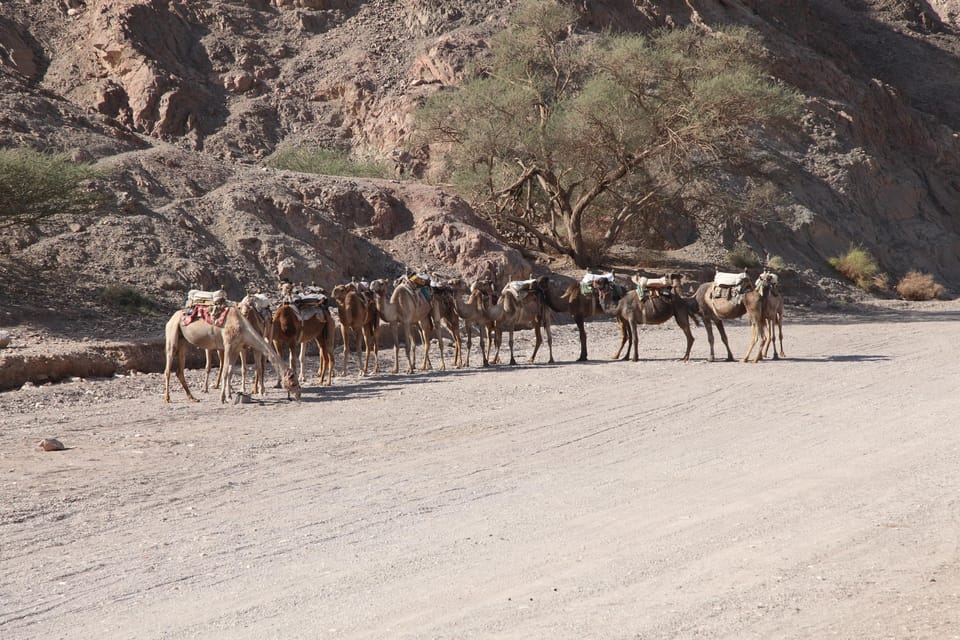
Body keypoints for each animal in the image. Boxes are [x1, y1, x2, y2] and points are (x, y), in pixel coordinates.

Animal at [164, 305, 300, 403]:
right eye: (293, 382)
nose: (298, 395)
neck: (243, 328)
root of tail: (171, 318)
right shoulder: (228, 345)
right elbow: (225, 371)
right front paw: (222, 398)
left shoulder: (236, 348)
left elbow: (230, 371)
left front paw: (229, 396)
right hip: (172, 336)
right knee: (168, 368)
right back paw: (167, 398)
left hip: (183, 341)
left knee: (180, 370)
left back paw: (192, 397)